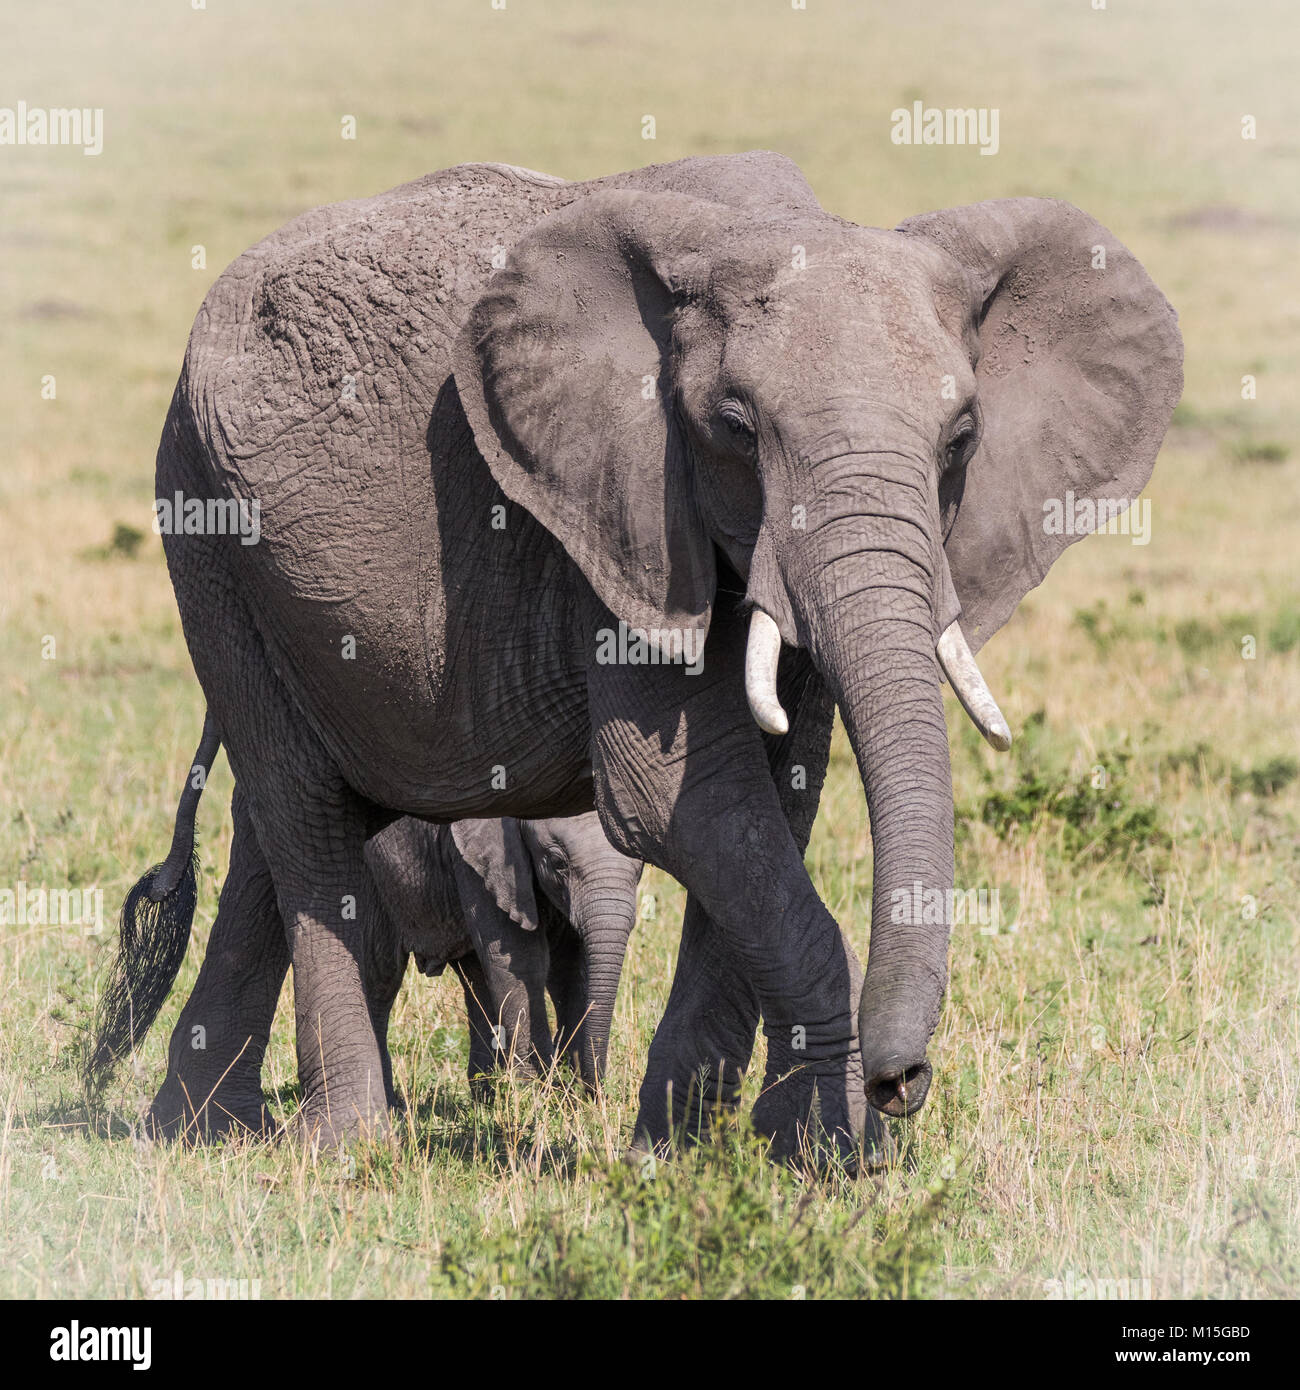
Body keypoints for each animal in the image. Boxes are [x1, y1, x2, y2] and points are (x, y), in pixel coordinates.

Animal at [85, 150, 1181, 1165]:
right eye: (735, 427)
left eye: (961, 438)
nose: (902, 1083)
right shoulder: (613, 519)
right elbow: (677, 798)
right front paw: (831, 1156)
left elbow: (780, 793)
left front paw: (703, 1152)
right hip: (204, 523)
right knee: (302, 811)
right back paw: (345, 1149)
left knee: (271, 822)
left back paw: (198, 1131)